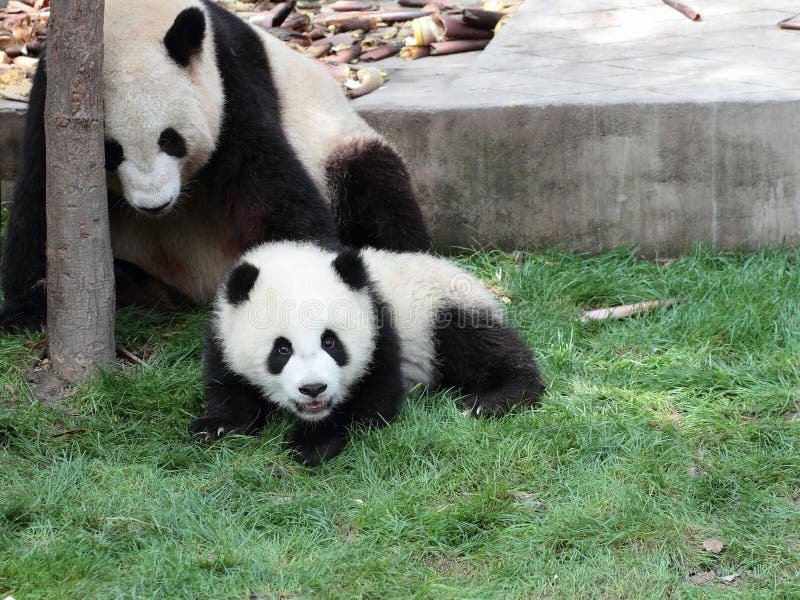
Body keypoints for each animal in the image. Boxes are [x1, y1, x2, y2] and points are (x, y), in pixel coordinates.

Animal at [0, 0, 430, 334]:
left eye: (170, 139)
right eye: (112, 152)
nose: (154, 204)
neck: (124, 20)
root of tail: (204, 288)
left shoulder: (229, 81)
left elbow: (269, 183)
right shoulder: (53, 101)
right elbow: (42, 198)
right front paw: (27, 311)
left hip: (335, 143)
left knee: (375, 188)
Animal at [188, 241, 546, 466]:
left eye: (330, 342)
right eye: (282, 348)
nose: (313, 389)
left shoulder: (379, 327)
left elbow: (372, 398)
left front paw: (310, 444)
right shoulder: (223, 332)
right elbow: (227, 384)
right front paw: (216, 426)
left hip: (440, 310)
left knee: (482, 348)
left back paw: (492, 400)